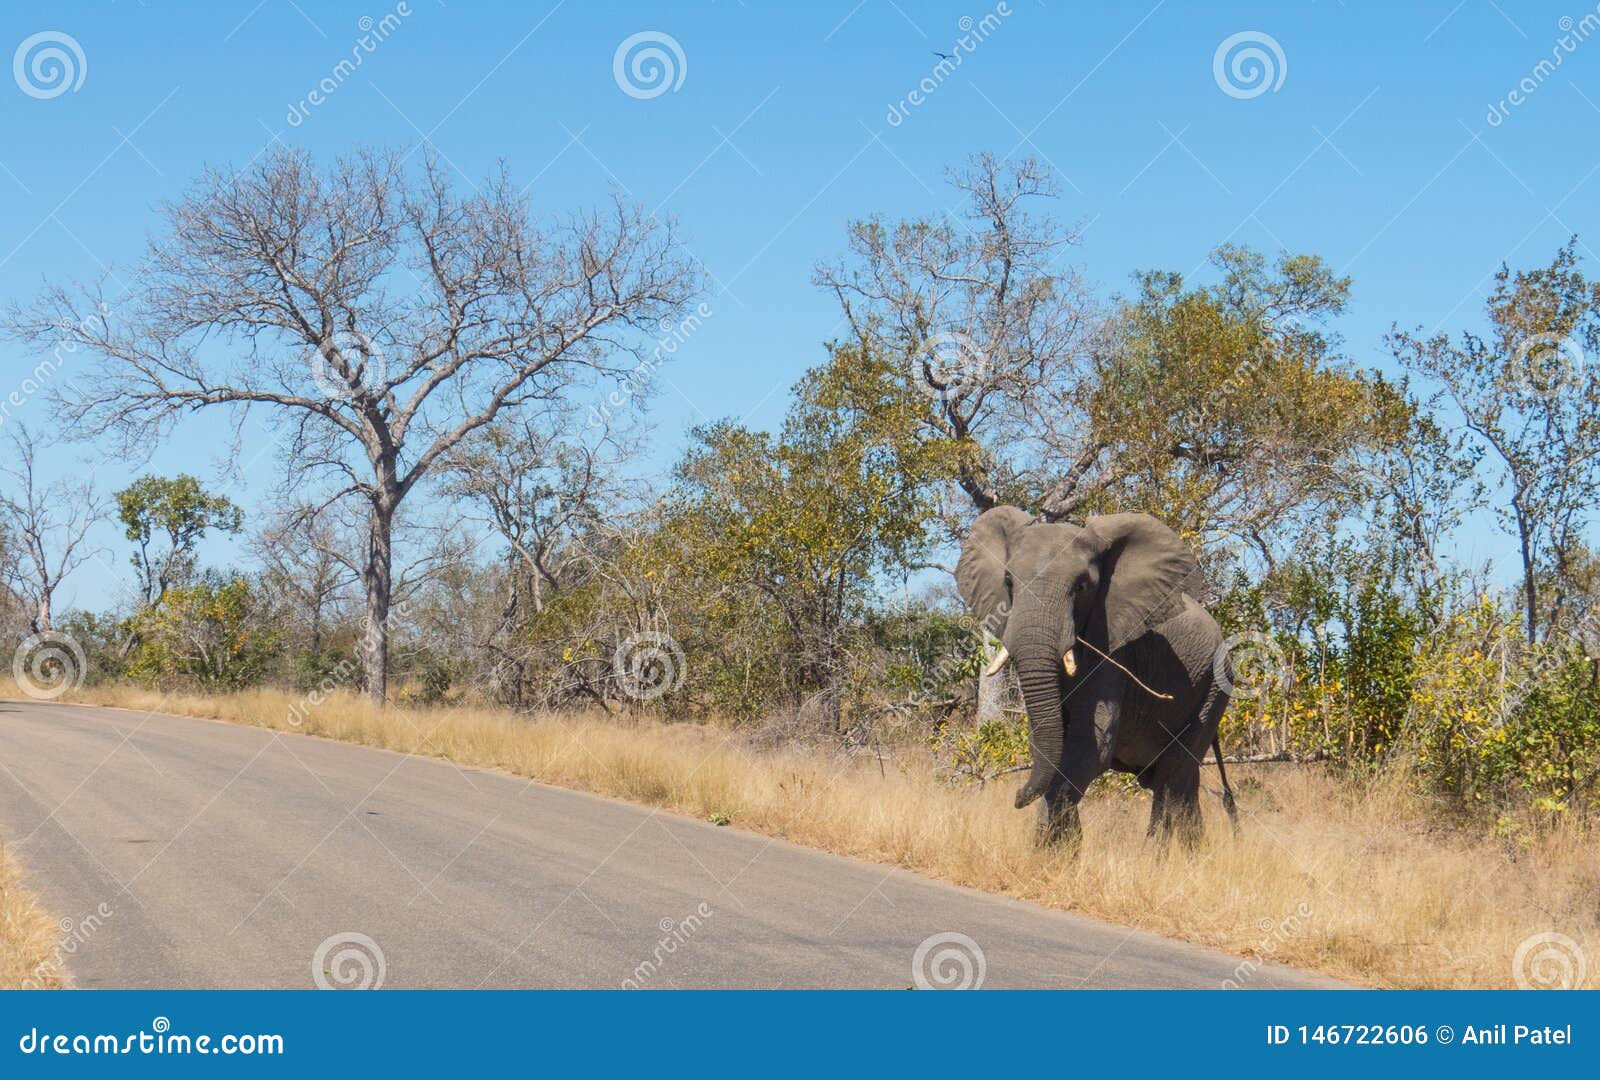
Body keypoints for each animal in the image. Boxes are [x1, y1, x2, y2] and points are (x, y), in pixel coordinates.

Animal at [956, 505, 1238, 847]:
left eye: (1081, 587)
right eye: (1008, 582)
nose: (1016, 797)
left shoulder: (1112, 649)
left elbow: (1090, 746)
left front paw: (1047, 852)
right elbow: (1050, 741)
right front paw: (1065, 849)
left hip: (1215, 685)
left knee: (1173, 775)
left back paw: (1158, 855)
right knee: (1177, 780)